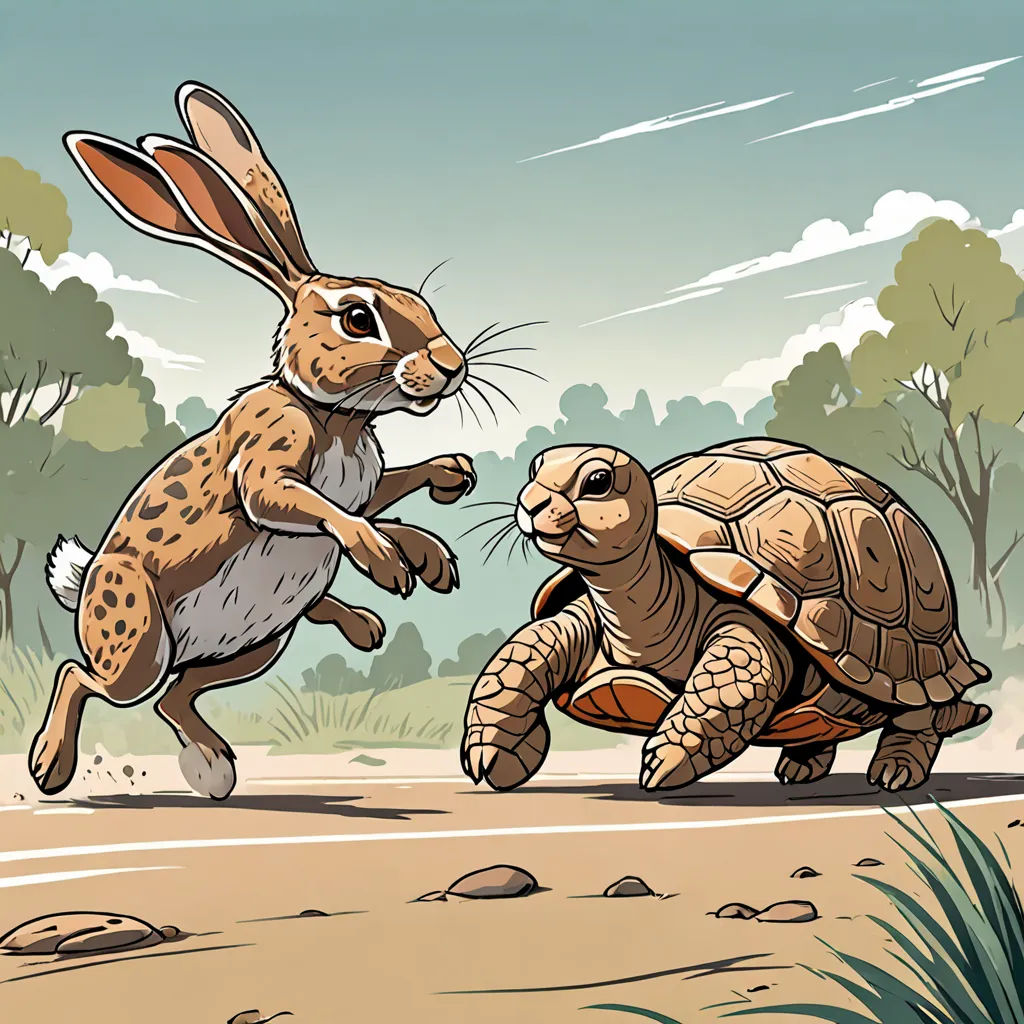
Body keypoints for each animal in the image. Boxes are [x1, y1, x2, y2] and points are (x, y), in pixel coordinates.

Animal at [31, 82, 477, 800]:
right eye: (358, 318)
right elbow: (318, 509)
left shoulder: (364, 484)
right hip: (139, 644)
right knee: (86, 676)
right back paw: (52, 765)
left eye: (418, 299)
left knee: (177, 697)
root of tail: (84, 584)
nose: (451, 365)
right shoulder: (268, 470)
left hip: (259, 641)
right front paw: (388, 561)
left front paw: (439, 520)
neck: (333, 417)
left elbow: (384, 494)